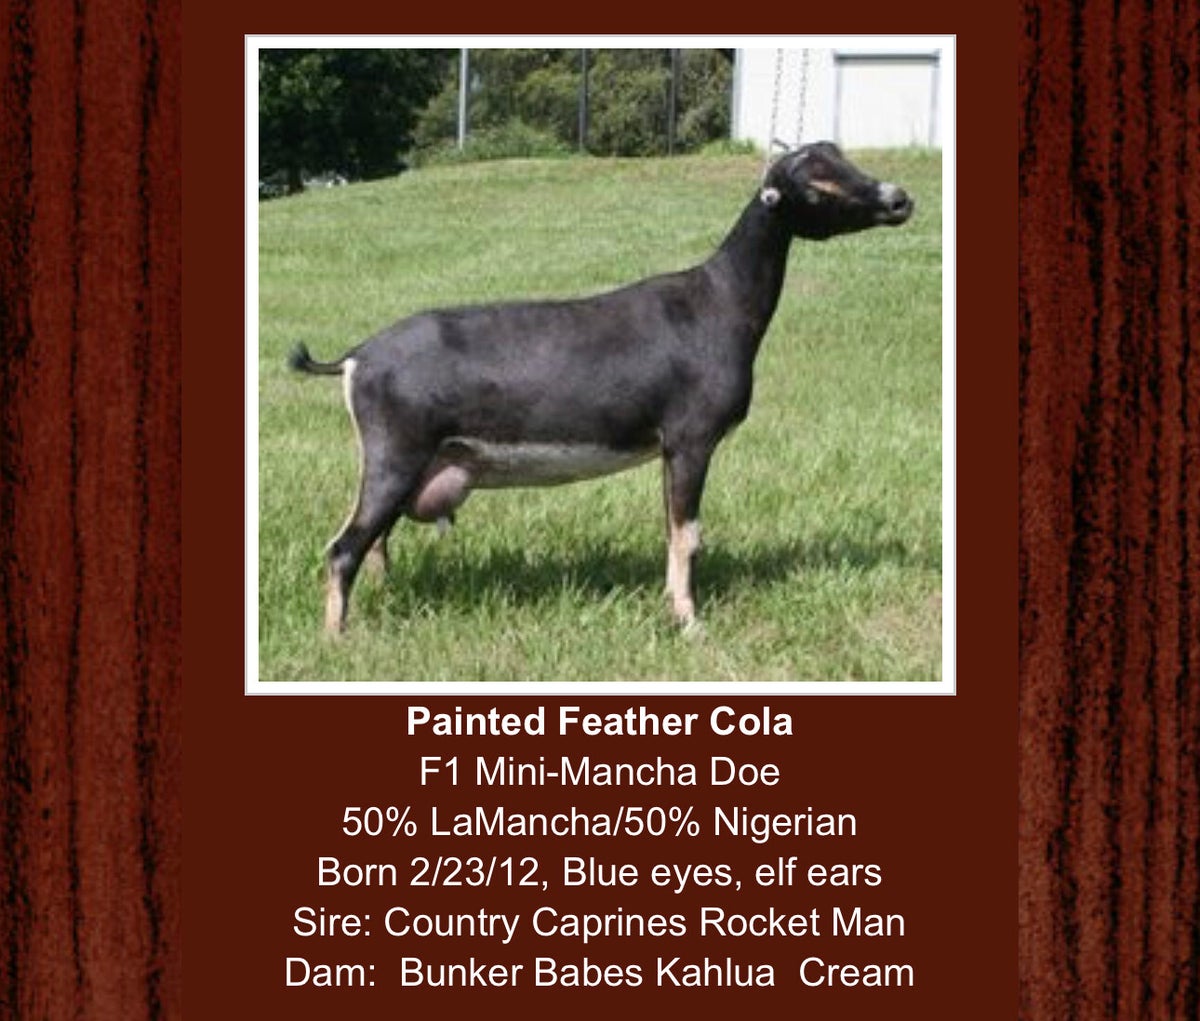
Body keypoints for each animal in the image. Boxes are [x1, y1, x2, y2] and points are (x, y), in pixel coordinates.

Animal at [289, 142, 913, 635]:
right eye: (814, 179)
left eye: (843, 158)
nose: (899, 199)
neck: (717, 303)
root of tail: (357, 357)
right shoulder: (691, 439)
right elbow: (687, 536)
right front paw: (689, 623)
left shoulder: (670, 449)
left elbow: (672, 532)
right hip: (396, 454)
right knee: (343, 548)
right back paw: (337, 639)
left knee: (372, 542)